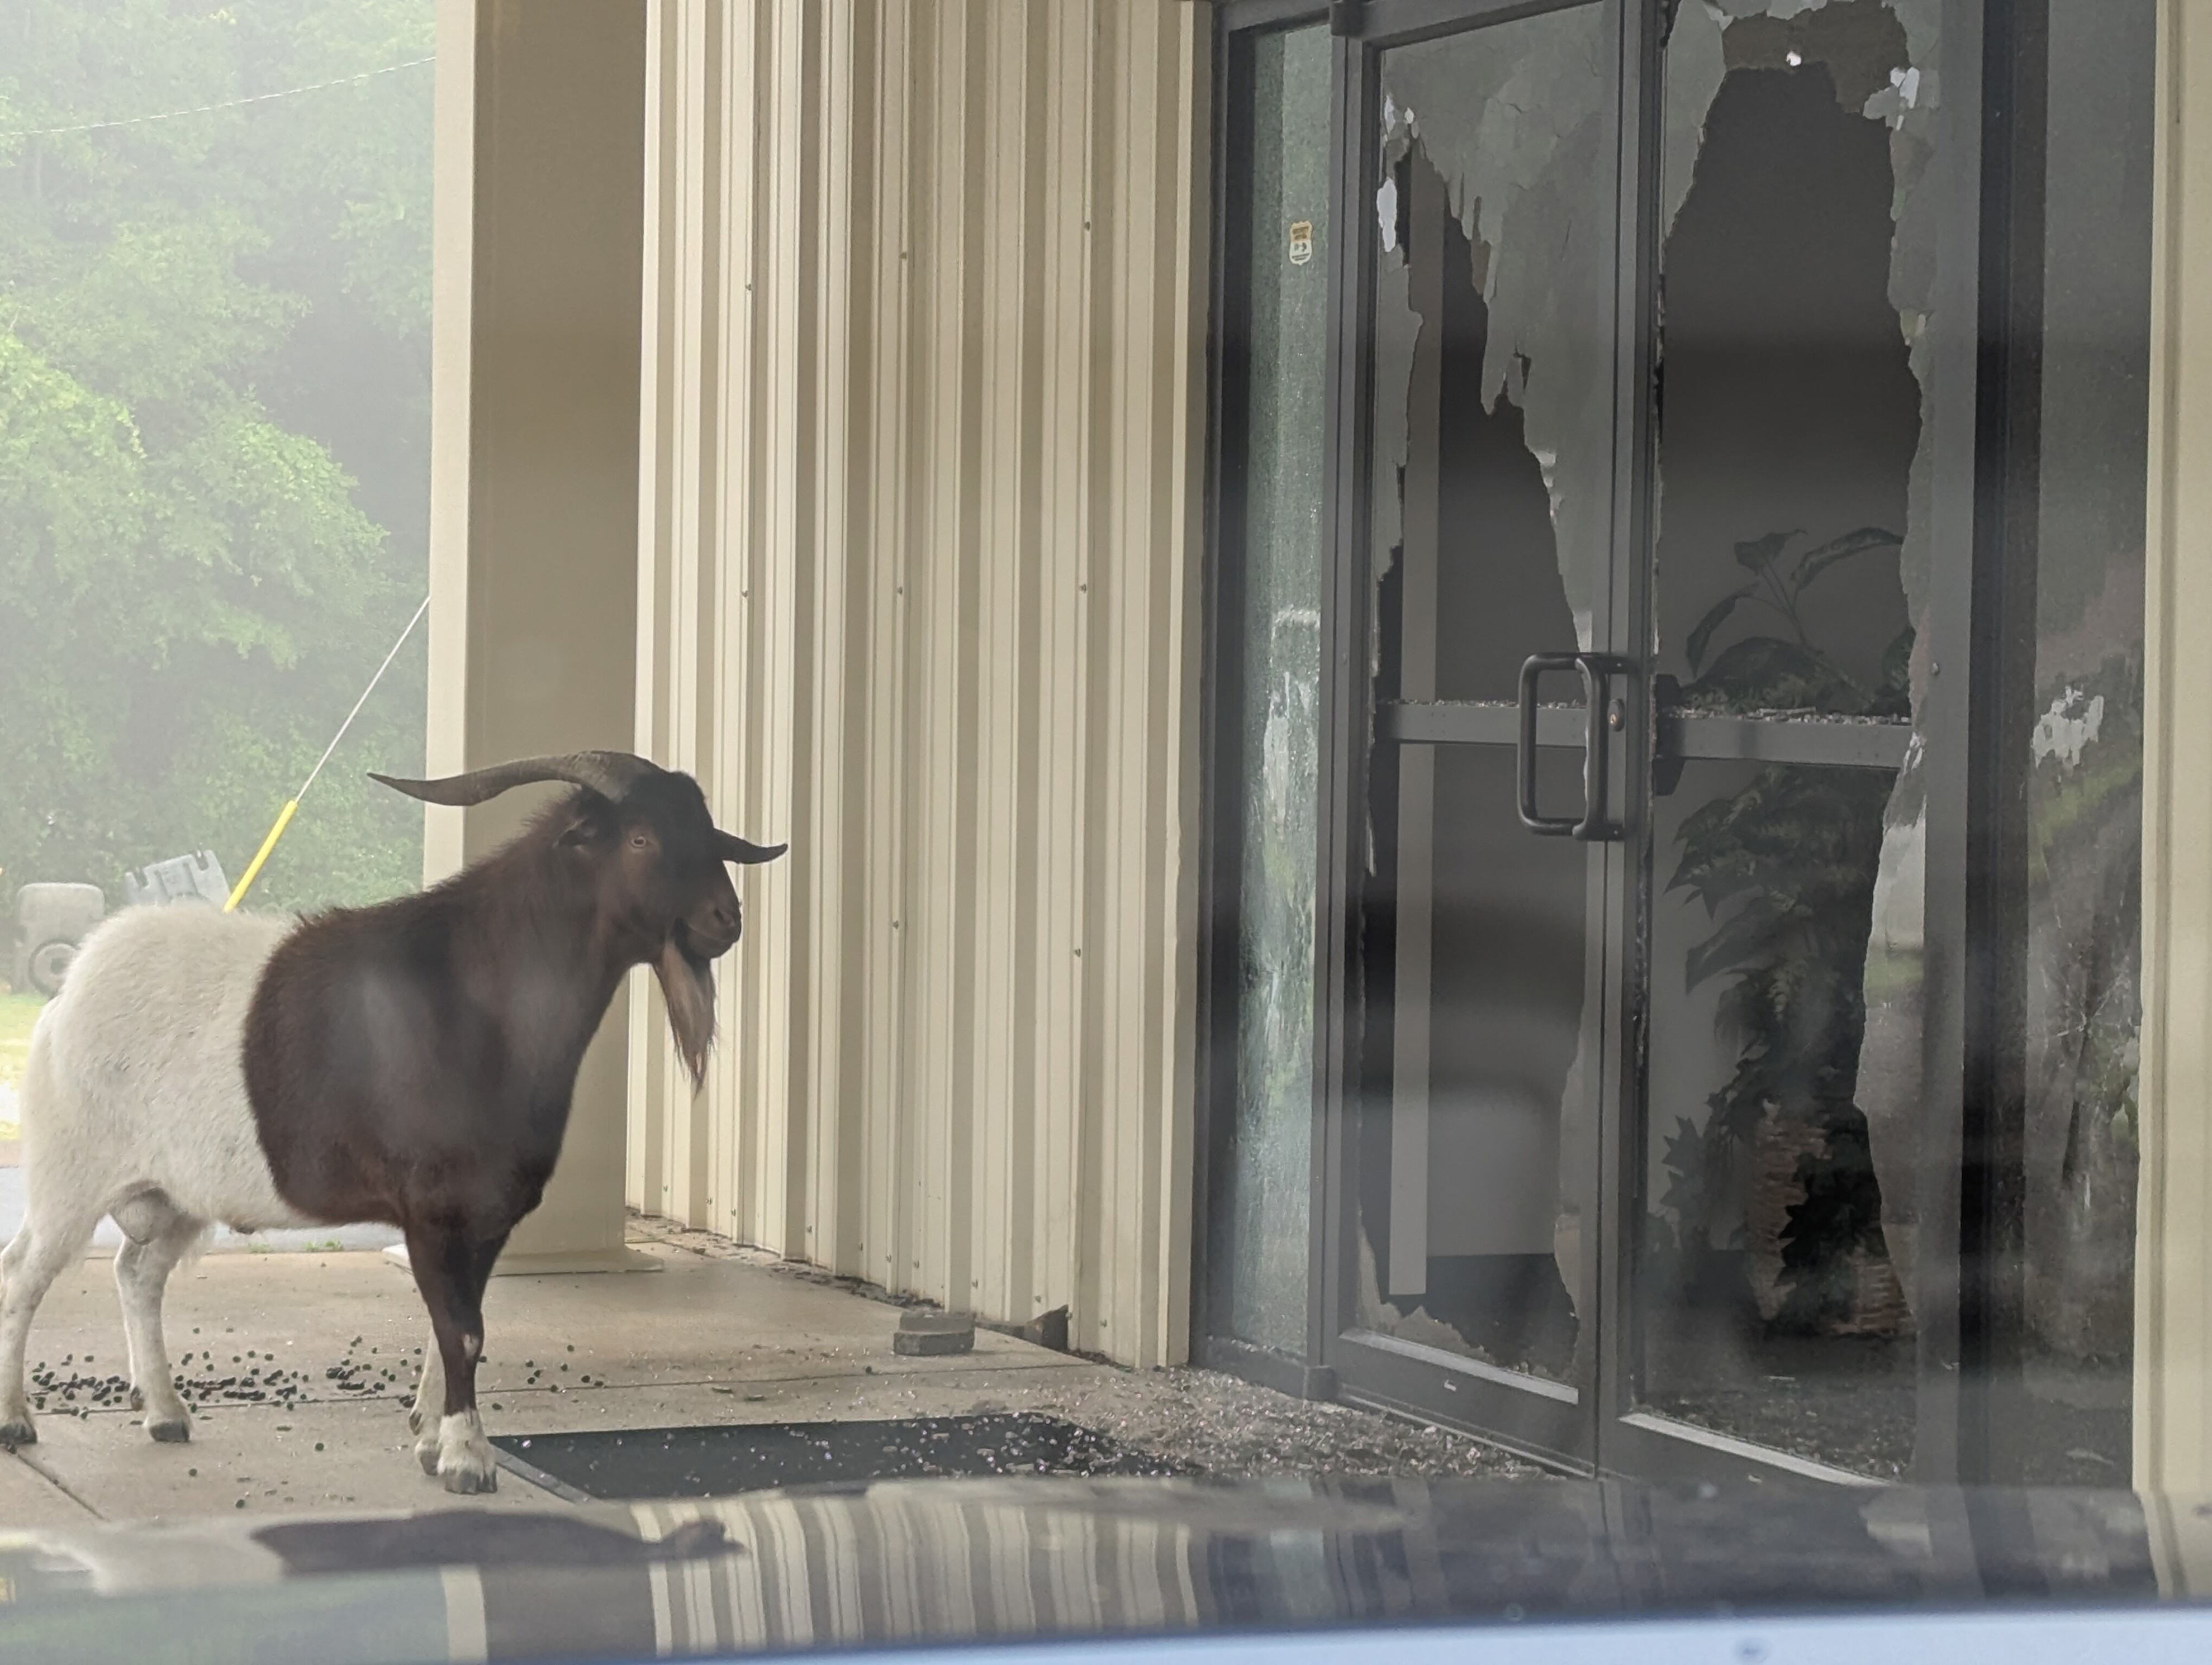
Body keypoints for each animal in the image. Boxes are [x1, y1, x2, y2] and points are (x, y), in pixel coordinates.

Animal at [0, 752, 783, 1492]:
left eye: (706, 832)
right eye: (642, 838)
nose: (729, 920)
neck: (482, 995)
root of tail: (69, 991)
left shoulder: (487, 1213)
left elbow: (457, 1321)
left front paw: (433, 1441)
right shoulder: (433, 1206)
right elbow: (461, 1329)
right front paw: (468, 1459)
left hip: (175, 1194)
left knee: (138, 1272)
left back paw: (166, 1413)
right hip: (71, 1174)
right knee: (24, 1273)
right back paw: (17, 1421)